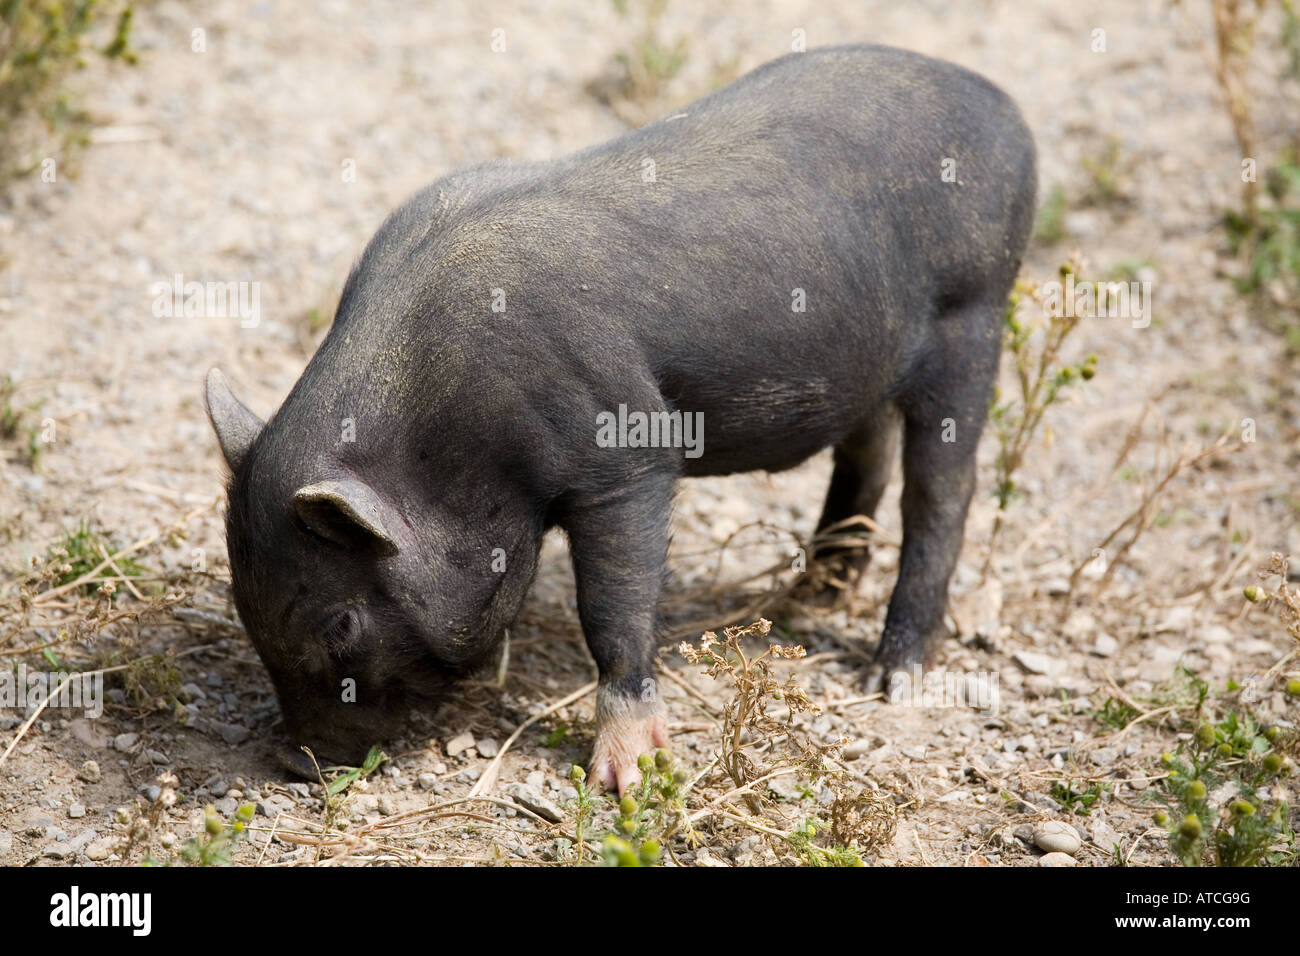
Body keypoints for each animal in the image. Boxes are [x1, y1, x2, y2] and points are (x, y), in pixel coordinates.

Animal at [205, 44, 1036, 794]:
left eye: (341, 625)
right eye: (242, 602)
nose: (296, 764)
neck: (447, 432)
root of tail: (1002, 107)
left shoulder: (626, 455)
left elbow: (612, 608)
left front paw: (625, 781)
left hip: (974, 315)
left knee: (942, 493)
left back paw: (892, 678)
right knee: (868, 453)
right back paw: (815, 594)